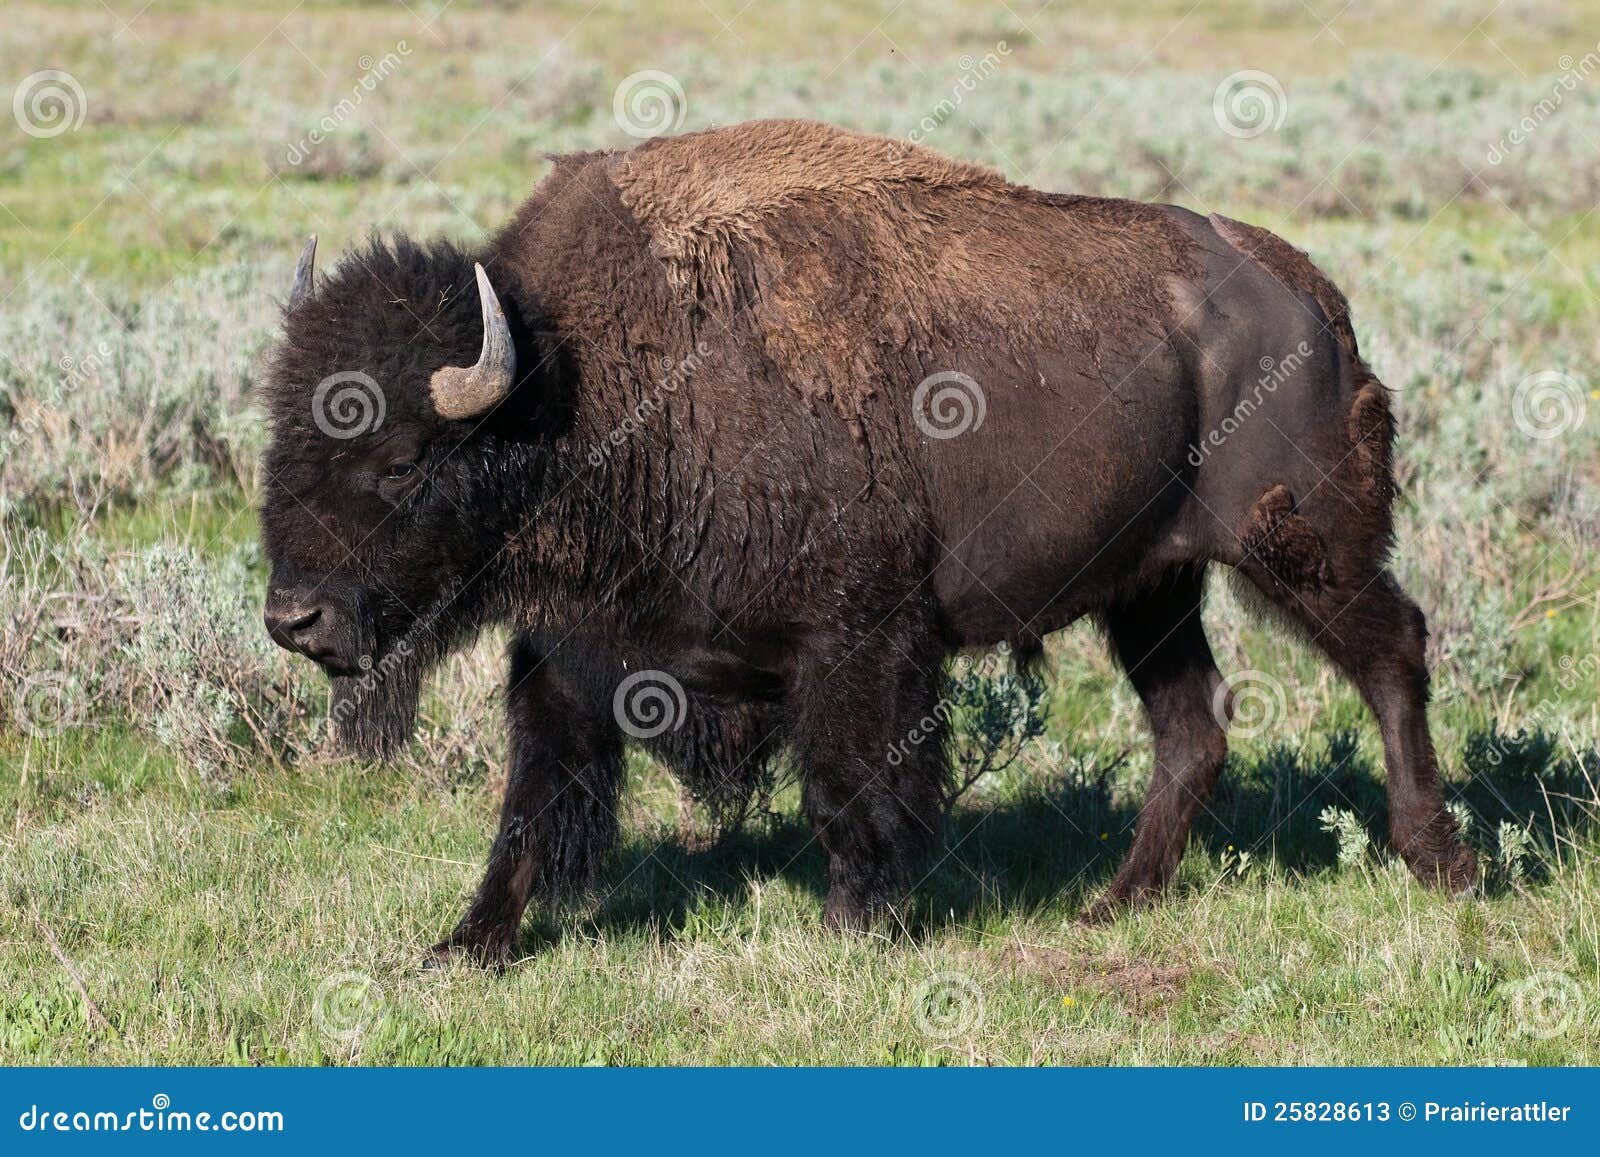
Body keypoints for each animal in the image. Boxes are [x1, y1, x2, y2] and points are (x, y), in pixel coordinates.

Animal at [261, 119, 1476, 965]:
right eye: (281, 432)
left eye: (404, 460)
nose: (294, 618)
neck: (578, 390)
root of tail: (1310, 297)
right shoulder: (571, 647)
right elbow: (534, 801)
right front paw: (464, 945)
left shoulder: (856, 637)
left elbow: (850, 778)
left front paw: (856, 920)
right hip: (1152, 586)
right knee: (1195, 722)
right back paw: (1115, 901)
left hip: (1301, 546)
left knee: (1392, 651)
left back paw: (1443, 862)